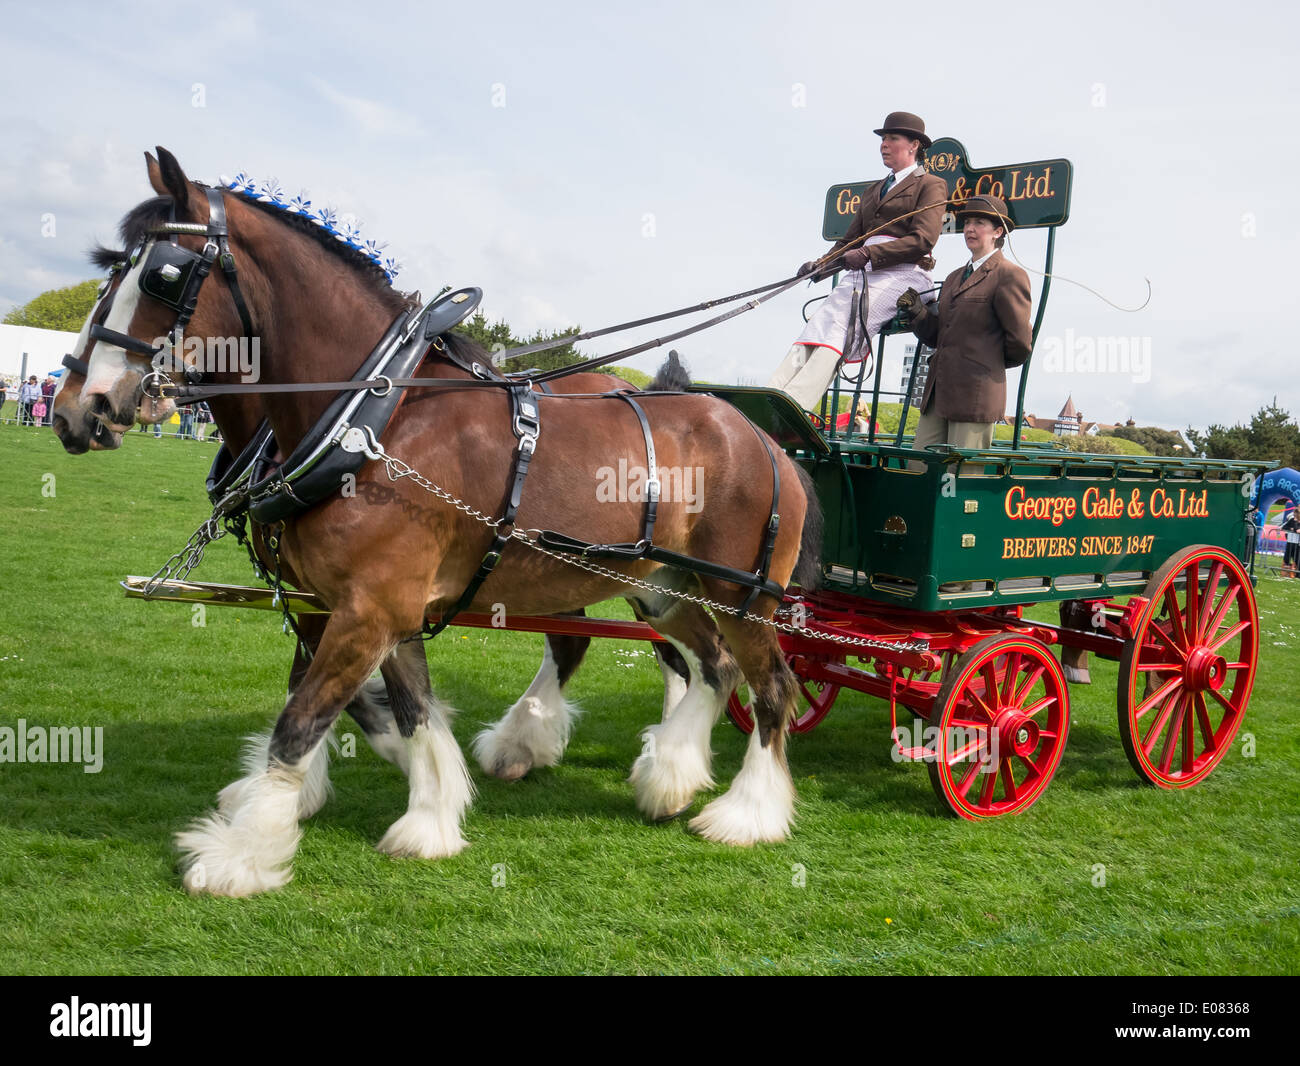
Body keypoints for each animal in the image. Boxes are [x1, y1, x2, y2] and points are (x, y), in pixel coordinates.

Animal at [68, 147, 822, 897]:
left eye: (163, 274)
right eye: (111, 268)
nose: (80, 409)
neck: (369, 419)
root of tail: (765, 440)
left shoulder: (367, 610)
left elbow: (302, 718)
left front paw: (242, 852)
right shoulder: (355, 606)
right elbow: (409, 709)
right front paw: (428, 812)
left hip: (740, 594)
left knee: (770, 686)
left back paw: (746, 812)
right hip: (661, 586)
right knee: (712, 666)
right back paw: (666, 773)